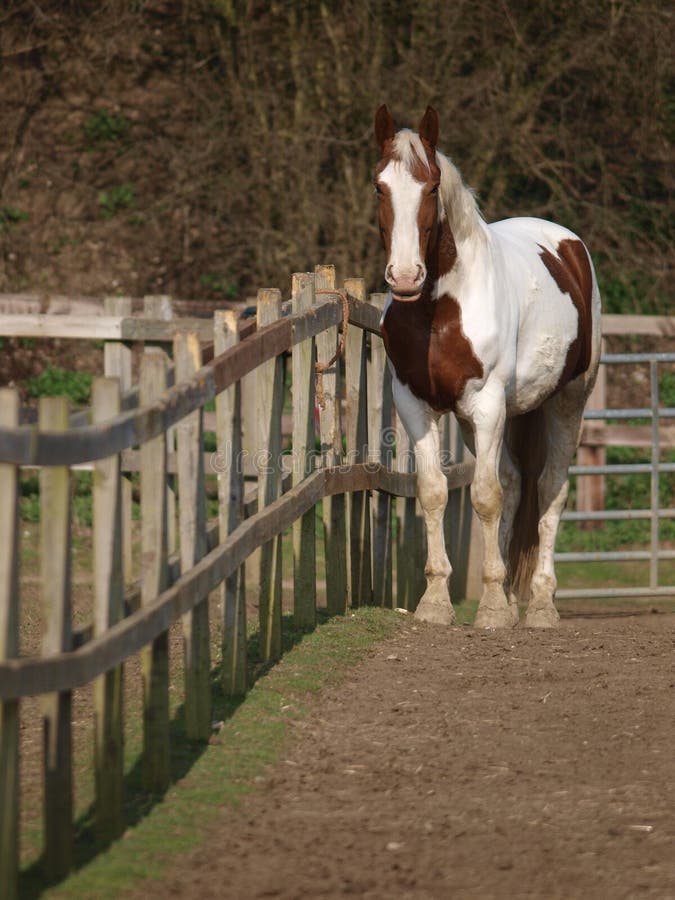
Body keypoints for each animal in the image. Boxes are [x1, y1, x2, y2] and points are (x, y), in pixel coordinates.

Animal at [374, 105, 602, 628]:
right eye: (379, 187)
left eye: (431, 188)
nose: (405, 277)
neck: (438, 309)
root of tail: (567, 245)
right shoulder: (415, 404)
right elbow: (434, 492)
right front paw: (436, 602)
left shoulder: (487, 403)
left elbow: (484, 495)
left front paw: (493, 608)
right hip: (492, 417)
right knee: (518, 484)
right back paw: (518, 600)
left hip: (566, 400)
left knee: (551, 487)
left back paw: (540, 604)